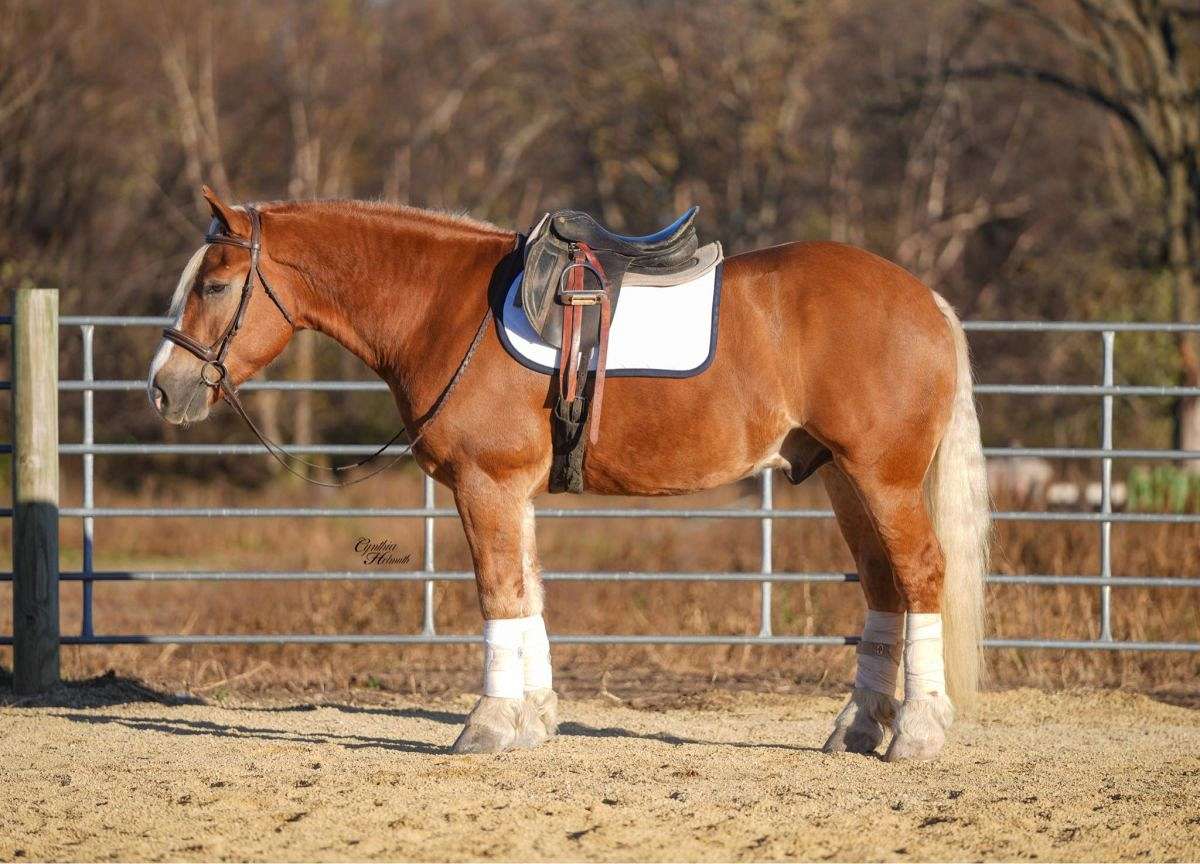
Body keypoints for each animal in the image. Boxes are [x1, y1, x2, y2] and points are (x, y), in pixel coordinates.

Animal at [148, 187, 989, 761]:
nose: (162, 387)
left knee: (920, 573)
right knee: (883, 585)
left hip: (882, 478)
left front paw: (488, 725)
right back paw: (860, 726)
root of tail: (926, 299)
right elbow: (527, 593)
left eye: (214, 286)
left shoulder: (485, 484)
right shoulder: (509, 491)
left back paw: (917, 732)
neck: (448, 309)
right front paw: (534, 717)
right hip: (846, 479)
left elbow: (499, 592)